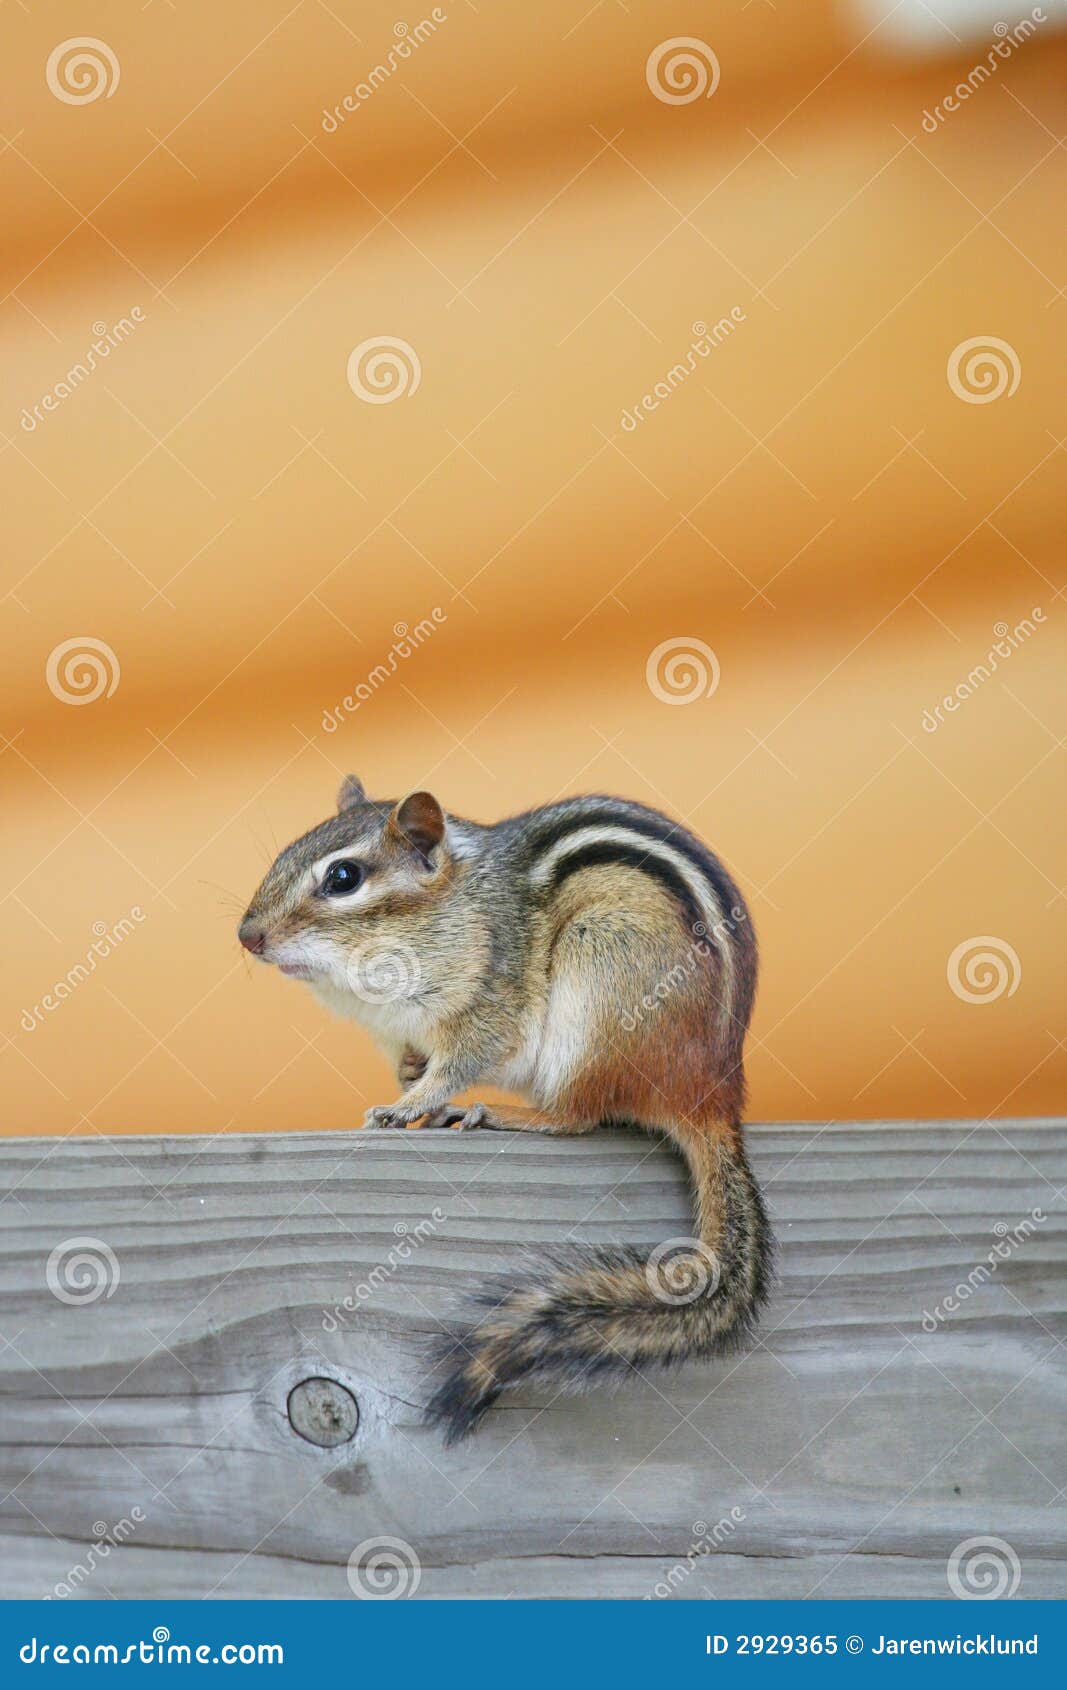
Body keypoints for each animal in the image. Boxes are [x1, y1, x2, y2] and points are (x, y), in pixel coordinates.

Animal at [239, 776, 773, 1442]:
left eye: (343, 877)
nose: (248, 936)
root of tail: (714, 1094)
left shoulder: (490, 1005)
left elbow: (463, 1060)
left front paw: (407, 1105)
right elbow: (418, 1061)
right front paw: (413, 1084)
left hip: (601, 979)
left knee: (579, 1115)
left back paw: (499, 1113)